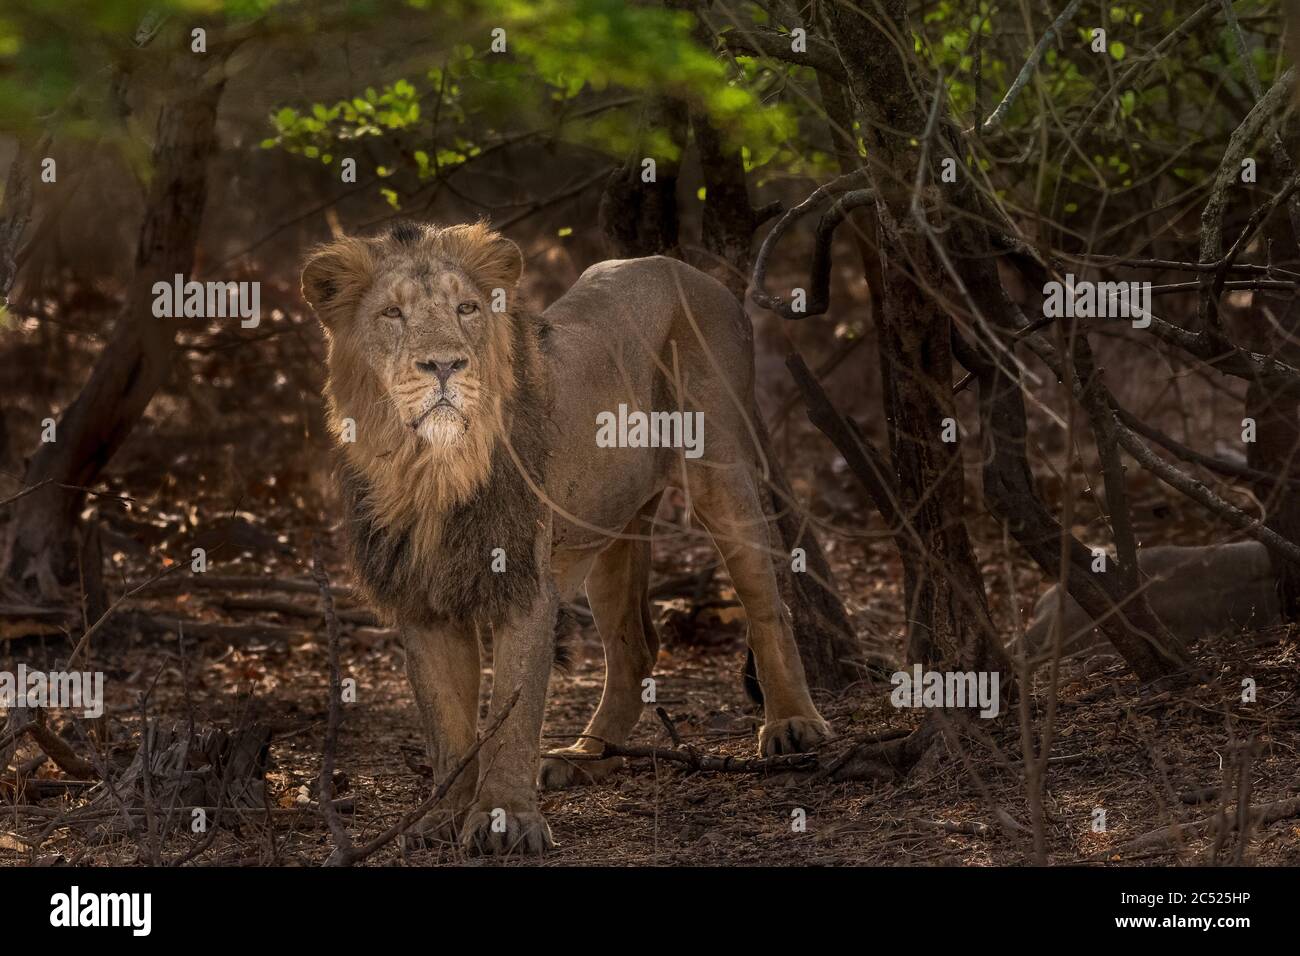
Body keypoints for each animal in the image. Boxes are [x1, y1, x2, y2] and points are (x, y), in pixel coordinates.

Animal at [301, 219, 832, 855]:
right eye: (392, 314)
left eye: (467, 308)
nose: (446, 365)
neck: (432, 471)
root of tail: (685, 270)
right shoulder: (421, 600)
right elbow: (448, 725)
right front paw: (440, 819)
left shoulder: (526, 583)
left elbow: (513, 710)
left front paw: (505, 819)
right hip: (613, 528)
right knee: (635, 646)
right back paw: (584, 757)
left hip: (720, 472)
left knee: (767, 602)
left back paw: (793, 725)